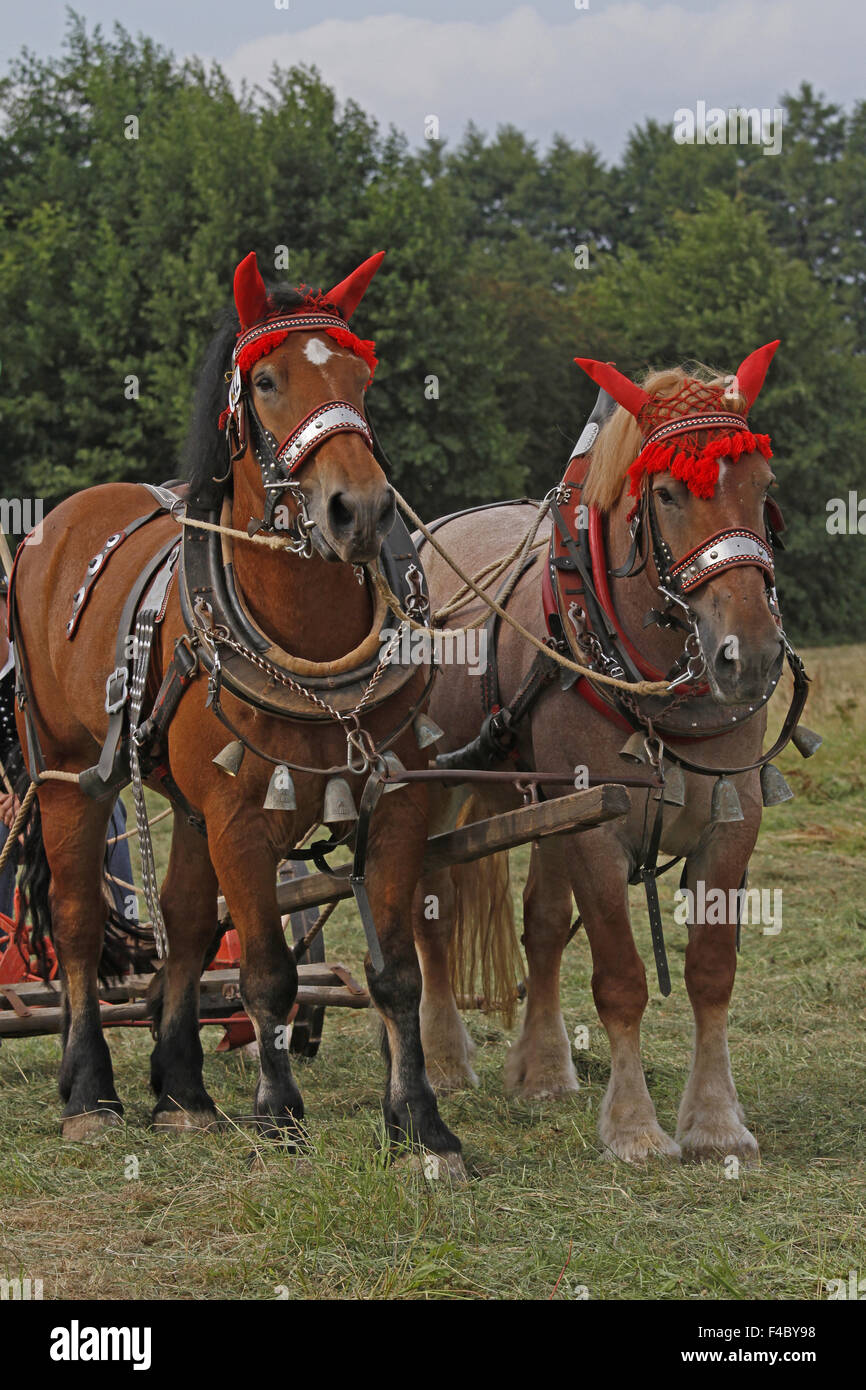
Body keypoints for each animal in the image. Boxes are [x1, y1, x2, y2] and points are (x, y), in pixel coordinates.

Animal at [10, 249, 462, 1169]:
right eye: (265, 380)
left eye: (362, 375)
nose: (360, 510)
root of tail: (54, 524)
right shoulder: (241, 816)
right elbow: (265, 970)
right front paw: (278, 1111)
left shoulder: (397, 800)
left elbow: (397, 971)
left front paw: (420, 1122)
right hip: (71, 776)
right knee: (76, 927)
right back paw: (89, 1091)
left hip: (186, 805)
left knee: (183, 925)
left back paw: (181, 1090)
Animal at [412, 342, 813, 1163]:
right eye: (667, 493)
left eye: (763, 487)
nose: (750, 656)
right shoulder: (597, 828)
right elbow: (621, 979)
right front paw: (633, 1127)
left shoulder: (732, 820)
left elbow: (711, 972)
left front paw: (716, 1120)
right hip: (438, 782)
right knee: (430, 909)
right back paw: (442, 1056)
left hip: (541, 802)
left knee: (538, 924)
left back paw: (542, 1068)